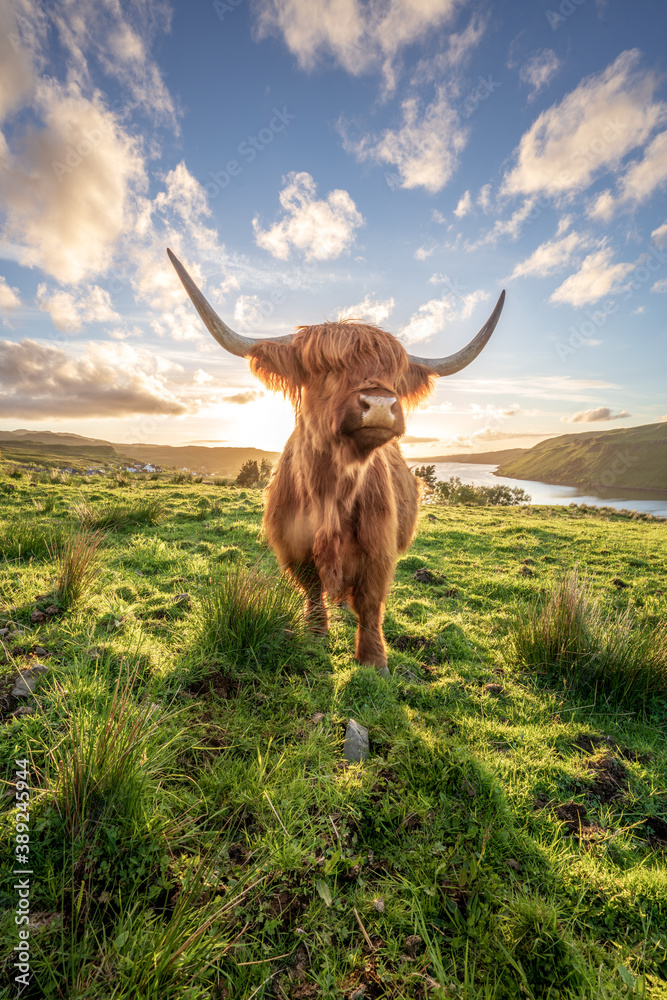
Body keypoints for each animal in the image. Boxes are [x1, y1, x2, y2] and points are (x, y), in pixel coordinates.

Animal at [167, 248, 504, 675]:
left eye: (394, 374)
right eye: (325, 368)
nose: (380, 403)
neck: (330, 491)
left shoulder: (380, 551)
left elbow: (371, 604)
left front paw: (374, 660)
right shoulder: (294, 546)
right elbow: (312, 588)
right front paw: (315, 633)